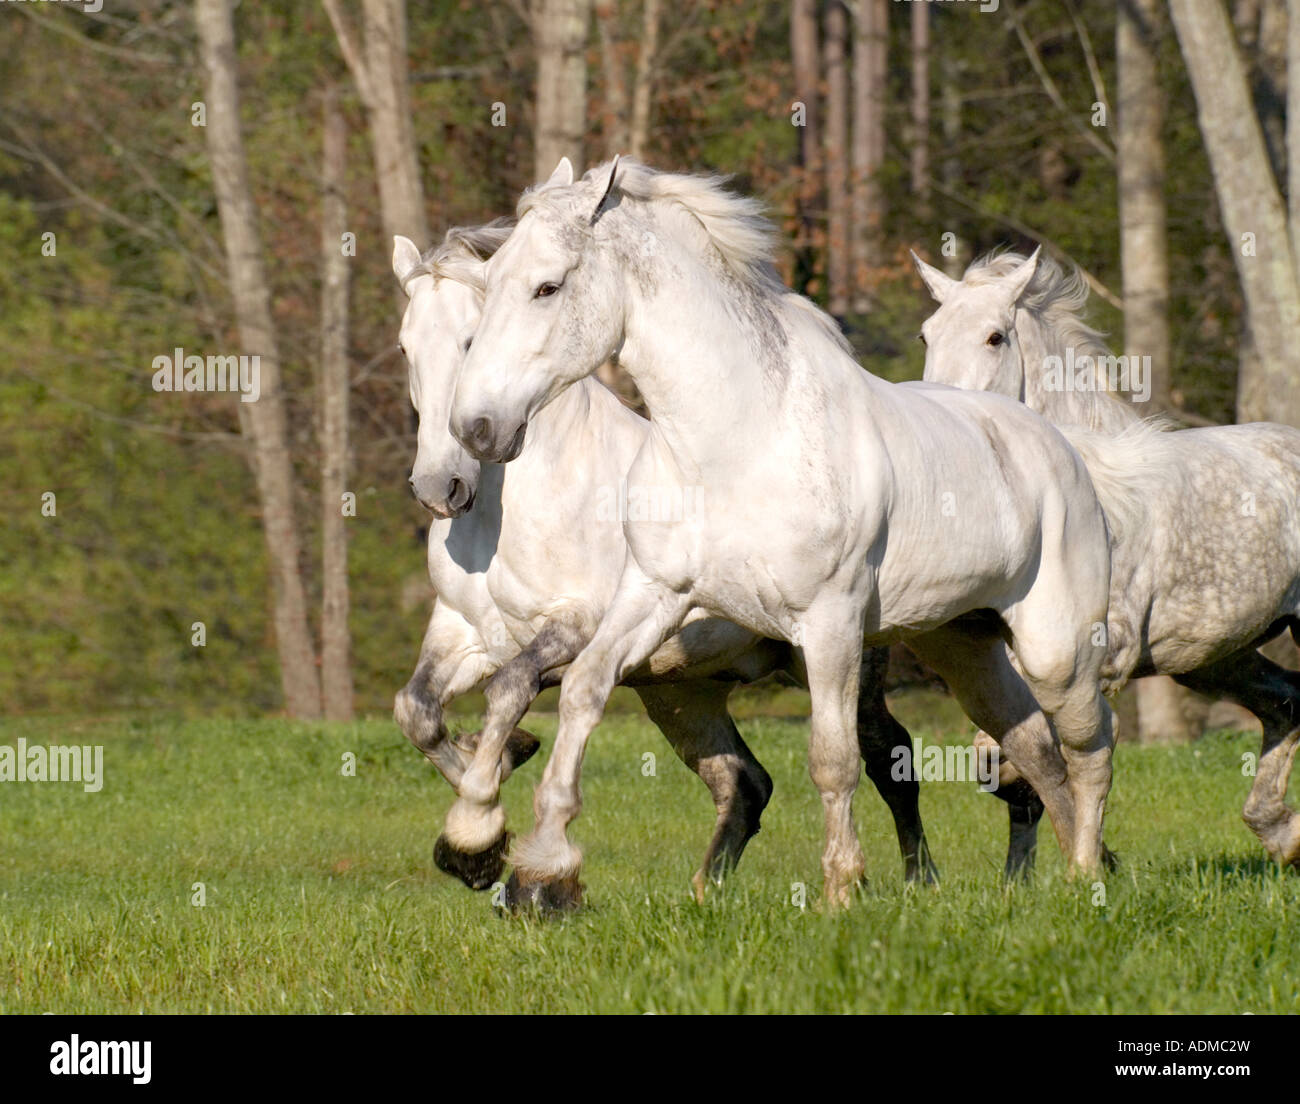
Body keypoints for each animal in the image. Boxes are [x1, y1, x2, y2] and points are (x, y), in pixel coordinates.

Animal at [390, 222, 938, 901]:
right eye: (406, 346)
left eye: (471, 340)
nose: (440, 487)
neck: (513, 511)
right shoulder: (464, 631)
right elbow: (416, 711)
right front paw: (486, 824)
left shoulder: (574, 627)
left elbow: (510, 687)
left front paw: (477, 835)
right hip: (682, 693)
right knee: (744, 782)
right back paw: (706, 890)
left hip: (839, 658)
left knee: (891, 758)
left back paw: (919, 881)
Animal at [450, 157, 1117, 910]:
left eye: (548, 286)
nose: (475, 428)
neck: (739, 440)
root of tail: (1055, 446)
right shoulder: (655, 594)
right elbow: (582, 691)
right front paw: (530, 861)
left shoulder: (829, 622)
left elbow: (832, 758)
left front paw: (841, 890)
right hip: (966, 649)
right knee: (1036, 749)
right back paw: (1067, 872)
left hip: (1058, 650)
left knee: (1090, 745)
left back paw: (1088, 875)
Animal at [914, 247, 1300, 867]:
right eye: (927, 335)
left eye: (995, 337)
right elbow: (1006, 757)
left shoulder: (1094, 652)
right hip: (1213, 657)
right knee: (1286, 703)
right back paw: (1281, 833)